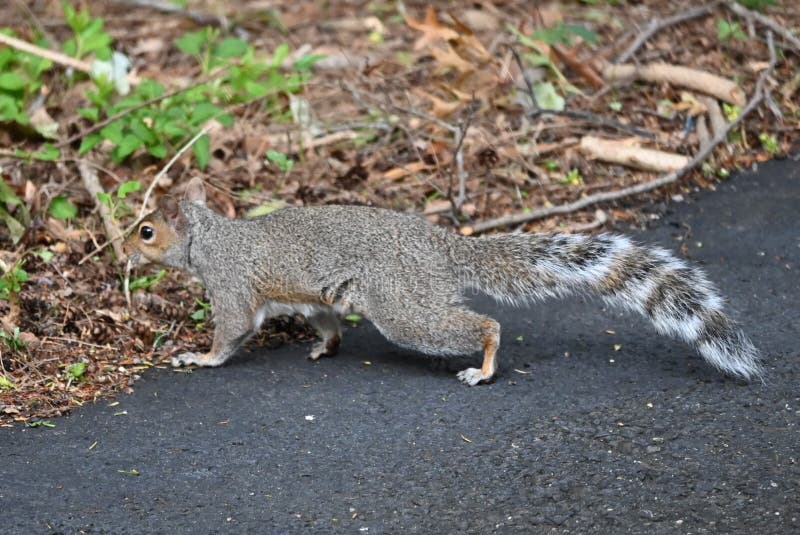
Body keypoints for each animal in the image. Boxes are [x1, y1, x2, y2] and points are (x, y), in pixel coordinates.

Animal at [124, 178, 762, 385]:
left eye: (147, 231)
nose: (121, 250)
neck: (211, 240)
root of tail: (444, 247)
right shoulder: (316, 297)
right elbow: (327, 320)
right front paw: (325, 347)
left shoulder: (231, 286)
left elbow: (231, 332)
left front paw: (198, 358)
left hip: (403, 306)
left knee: (481, 324)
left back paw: (484, 366)